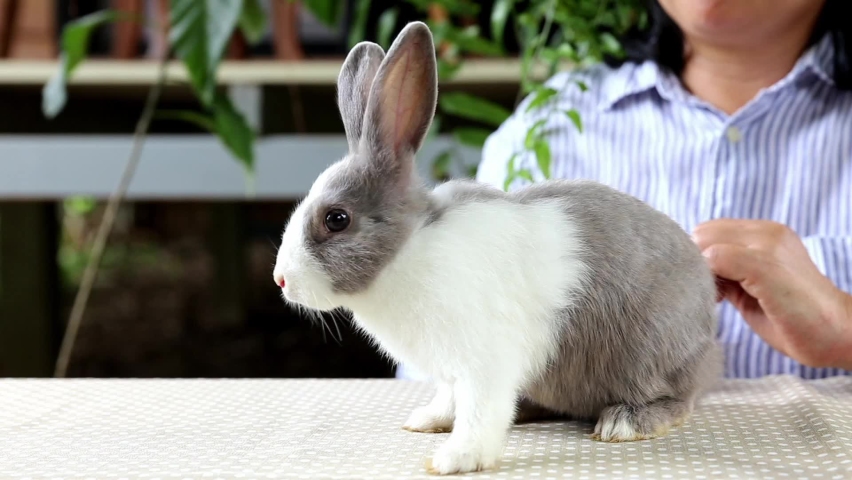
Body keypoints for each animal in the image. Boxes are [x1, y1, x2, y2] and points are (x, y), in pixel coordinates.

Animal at [272, 21, 722, 476]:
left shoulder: (485, 360)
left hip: (652, 353)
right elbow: (451, 398)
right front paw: (428, 421)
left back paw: (625, 422)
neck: (409, 248)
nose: (281, 280)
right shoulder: (451, 372)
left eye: (336, 219)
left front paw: (456, 458)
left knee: (676, 398)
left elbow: (480, 411)